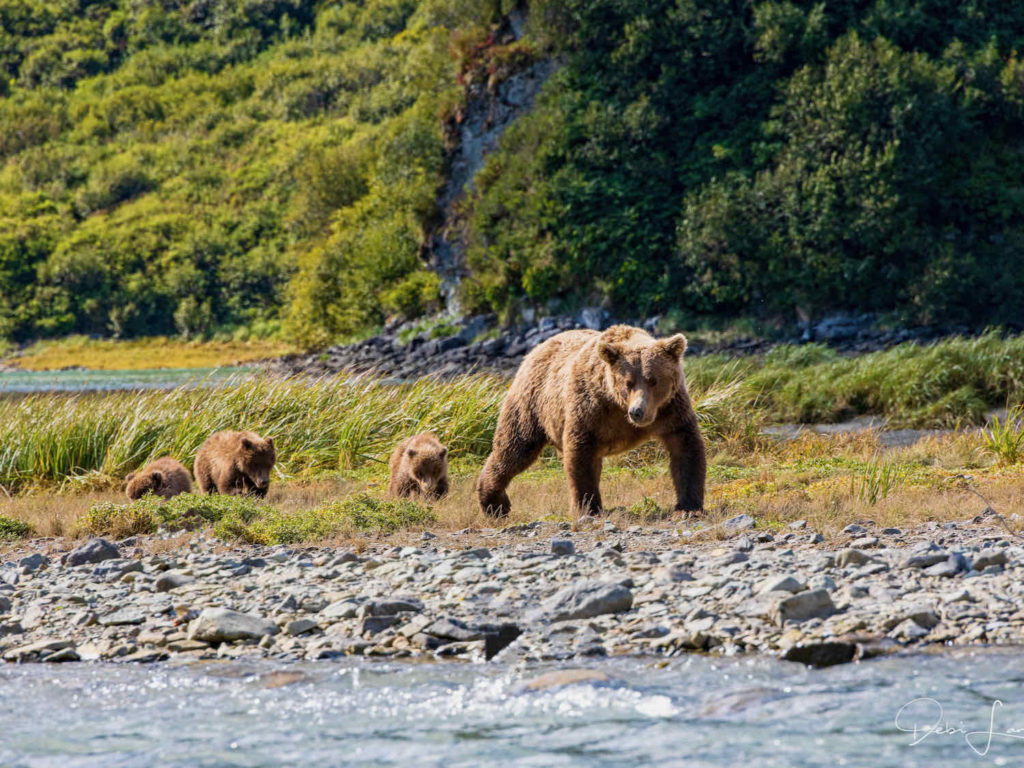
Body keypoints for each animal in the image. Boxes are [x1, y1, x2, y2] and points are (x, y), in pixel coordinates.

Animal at [476, 324, 706, 517]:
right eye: (628, 382)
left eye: (653, 380)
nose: (637, 412)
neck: (617, 405)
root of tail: (536, 350)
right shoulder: (590, 409)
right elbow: (580, 454)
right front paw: (588, 508)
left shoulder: (671, 410)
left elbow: (685, 448)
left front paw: (689, 506)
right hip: (531, 405)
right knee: (515, 448)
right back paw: (494, 504)